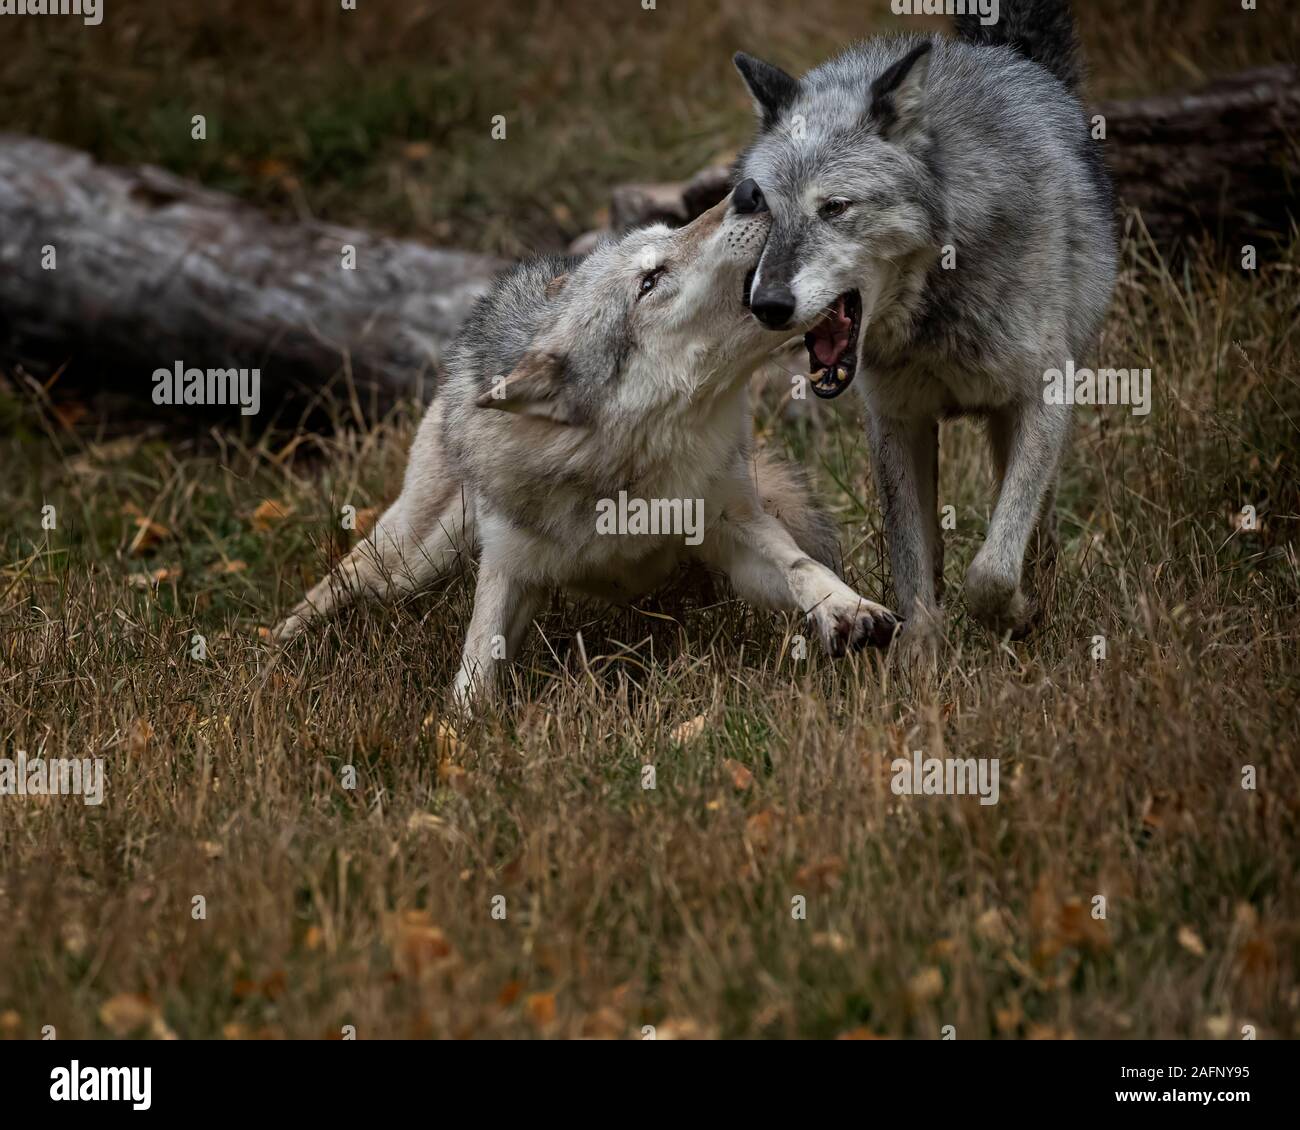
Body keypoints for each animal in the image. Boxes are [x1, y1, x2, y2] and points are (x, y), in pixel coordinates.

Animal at [272, 192, 899, 709]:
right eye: (649, 280)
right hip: (414, 557)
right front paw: (459, 737)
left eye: (671, 231)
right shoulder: (507, 564)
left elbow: (801, 565)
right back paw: (273, 649)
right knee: (345, 576)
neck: (631, 465)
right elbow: (475, 671)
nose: (749, 189)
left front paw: (849, 609)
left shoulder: (732, 532)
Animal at [733, 0, 1116, 640]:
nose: (768, 305)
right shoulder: (896, 420)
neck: (936, 306)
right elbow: (912, 567)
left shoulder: (1045, 395)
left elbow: (991, 571)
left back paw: (1041, 598)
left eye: (834, 208)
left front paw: (1014, 613)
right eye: (759, 208)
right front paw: (920, 654)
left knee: (1032, 524)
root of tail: (1010, 57)